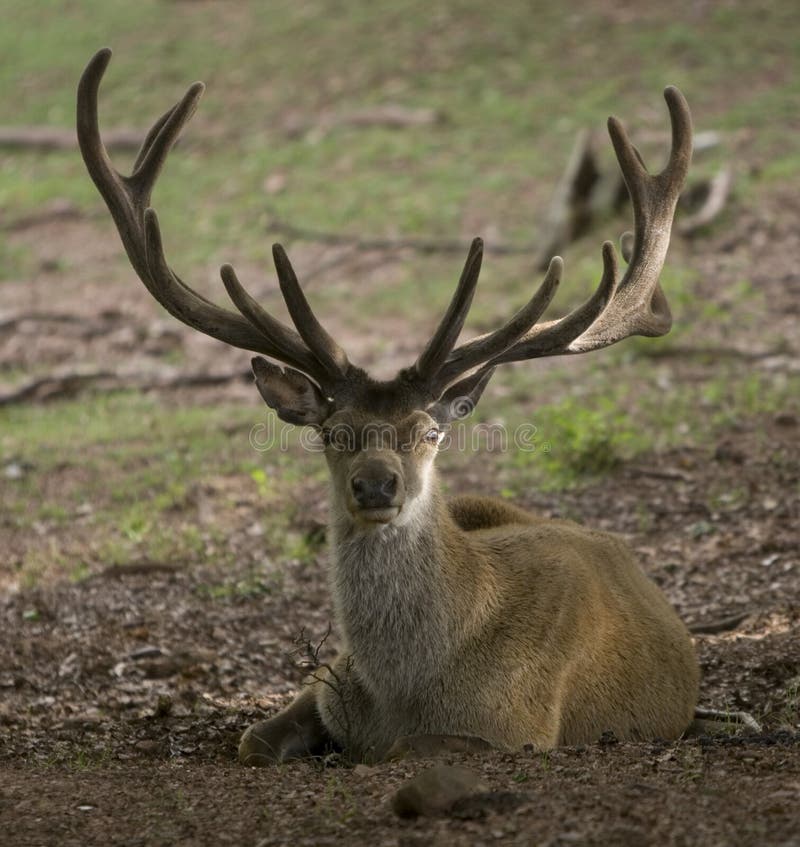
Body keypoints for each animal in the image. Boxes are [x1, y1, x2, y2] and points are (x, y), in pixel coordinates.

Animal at [77, 48, 699, 765]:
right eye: (331, 432)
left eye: (429, 431)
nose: (376, 485)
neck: (405, 694)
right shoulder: (329, 684)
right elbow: (252, 740)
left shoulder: (520, 728)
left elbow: (407, 752)